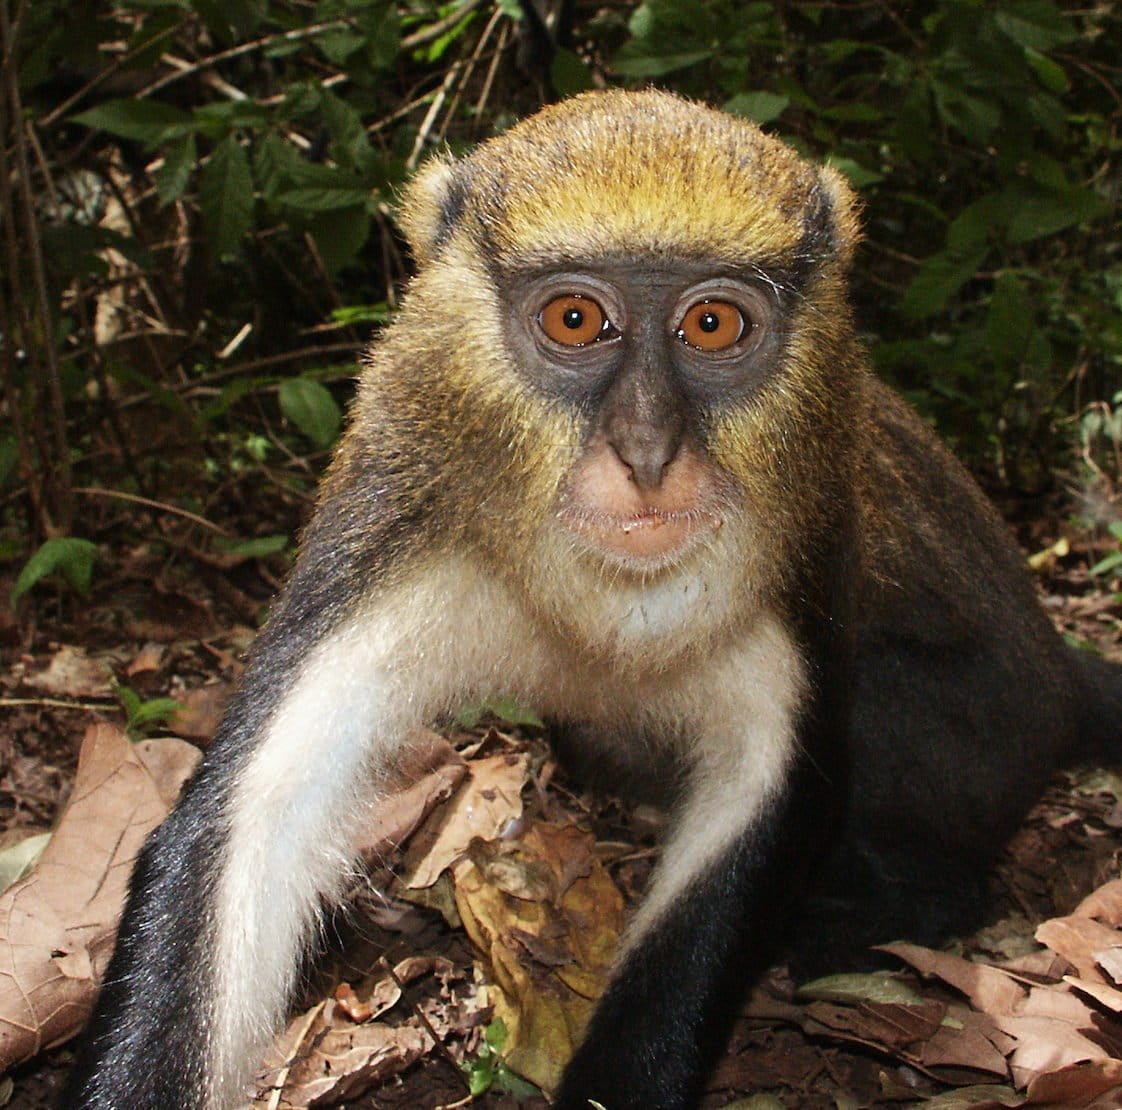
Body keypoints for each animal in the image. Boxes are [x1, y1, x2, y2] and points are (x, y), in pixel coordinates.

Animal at [65, 89, 1122, 1110]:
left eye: (713, 324)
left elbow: (767, 798)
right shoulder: (394, 516)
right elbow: (253, 814)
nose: (648, 454)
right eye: (575, 320)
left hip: (986, 728)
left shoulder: (804, 556)